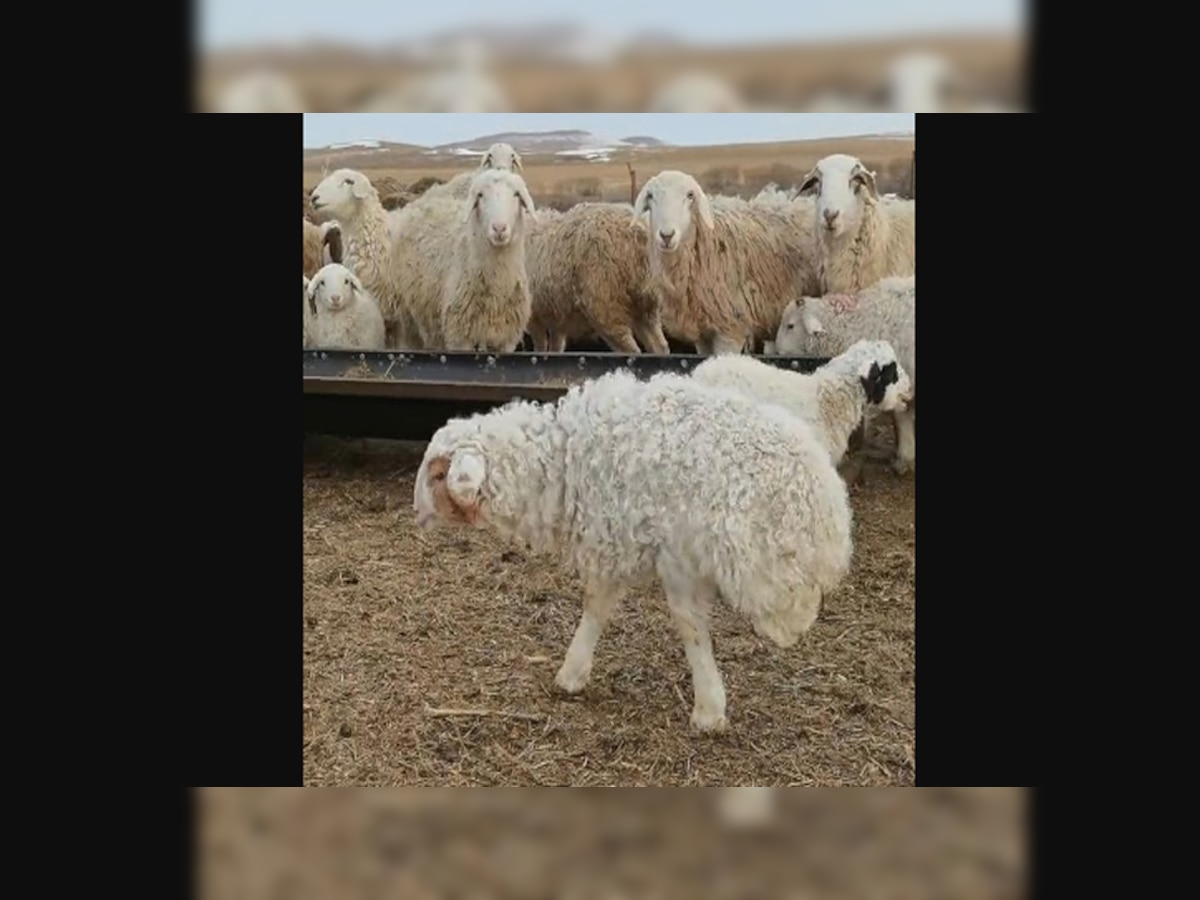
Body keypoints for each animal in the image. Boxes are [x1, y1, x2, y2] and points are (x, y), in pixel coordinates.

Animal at [412, 368, 854, 732]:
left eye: (438, 474)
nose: (415, 512)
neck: (560, 462)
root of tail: (830, 515)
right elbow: (605, 606)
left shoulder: (652, 550)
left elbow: (674, 621)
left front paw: (708, 710)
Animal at [524, 202, 669, 354]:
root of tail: (640, 230)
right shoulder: (554, 314)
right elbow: (555, 345)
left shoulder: (533, 315)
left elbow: (540, 344)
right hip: (646, 305)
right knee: (659, 345)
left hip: (606, 302)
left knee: (630, 348)